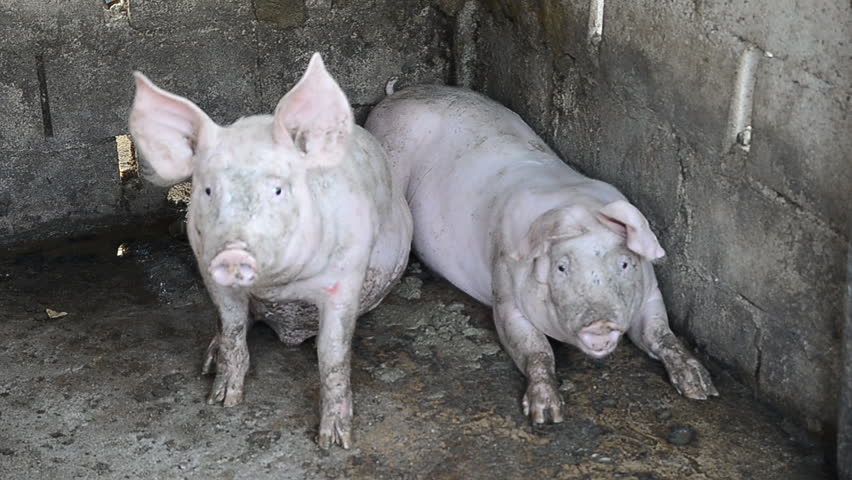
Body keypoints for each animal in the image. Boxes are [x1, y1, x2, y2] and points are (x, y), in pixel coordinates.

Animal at [128, 53, 413, 448]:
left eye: (278, 190)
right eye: (208, 190)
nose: (234, 252)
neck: (279, 288)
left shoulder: (347, 276)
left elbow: (333, 353)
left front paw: (334, 441)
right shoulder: (210, 273)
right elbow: (232, 327)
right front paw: (223, 399)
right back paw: (209, 361)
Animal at [365, 85, 717, 424]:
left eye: (624, 263)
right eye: (561, 267)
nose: (600, 320)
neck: (581, 208)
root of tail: (399, 95)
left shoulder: (651, 291)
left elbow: (661, 332)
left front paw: (702, 389)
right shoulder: (504, 290)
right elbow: (536, 350)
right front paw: (546, 415)